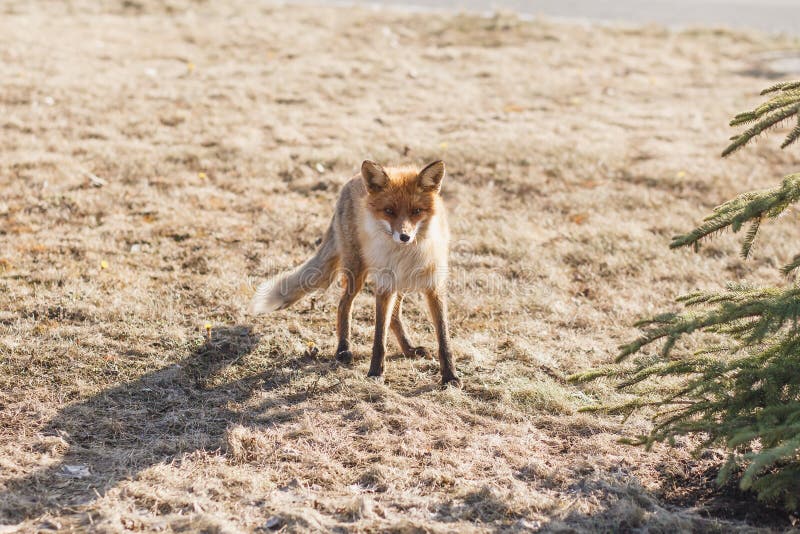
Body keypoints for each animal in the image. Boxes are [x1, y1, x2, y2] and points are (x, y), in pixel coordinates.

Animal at [249, 160, 461, 388]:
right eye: (389, 210)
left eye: (417, 211)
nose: (404, 236)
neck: (407, 254)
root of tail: (352, 180)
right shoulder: (384, 285)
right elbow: (379, 338)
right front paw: (375, 372)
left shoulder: (434, 287)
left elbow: (444, 339)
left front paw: (450, 376)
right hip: (357, 272)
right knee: (344, 305)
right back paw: (344, 349)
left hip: (398, 282)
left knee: (395, 316)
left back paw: (408, 349)